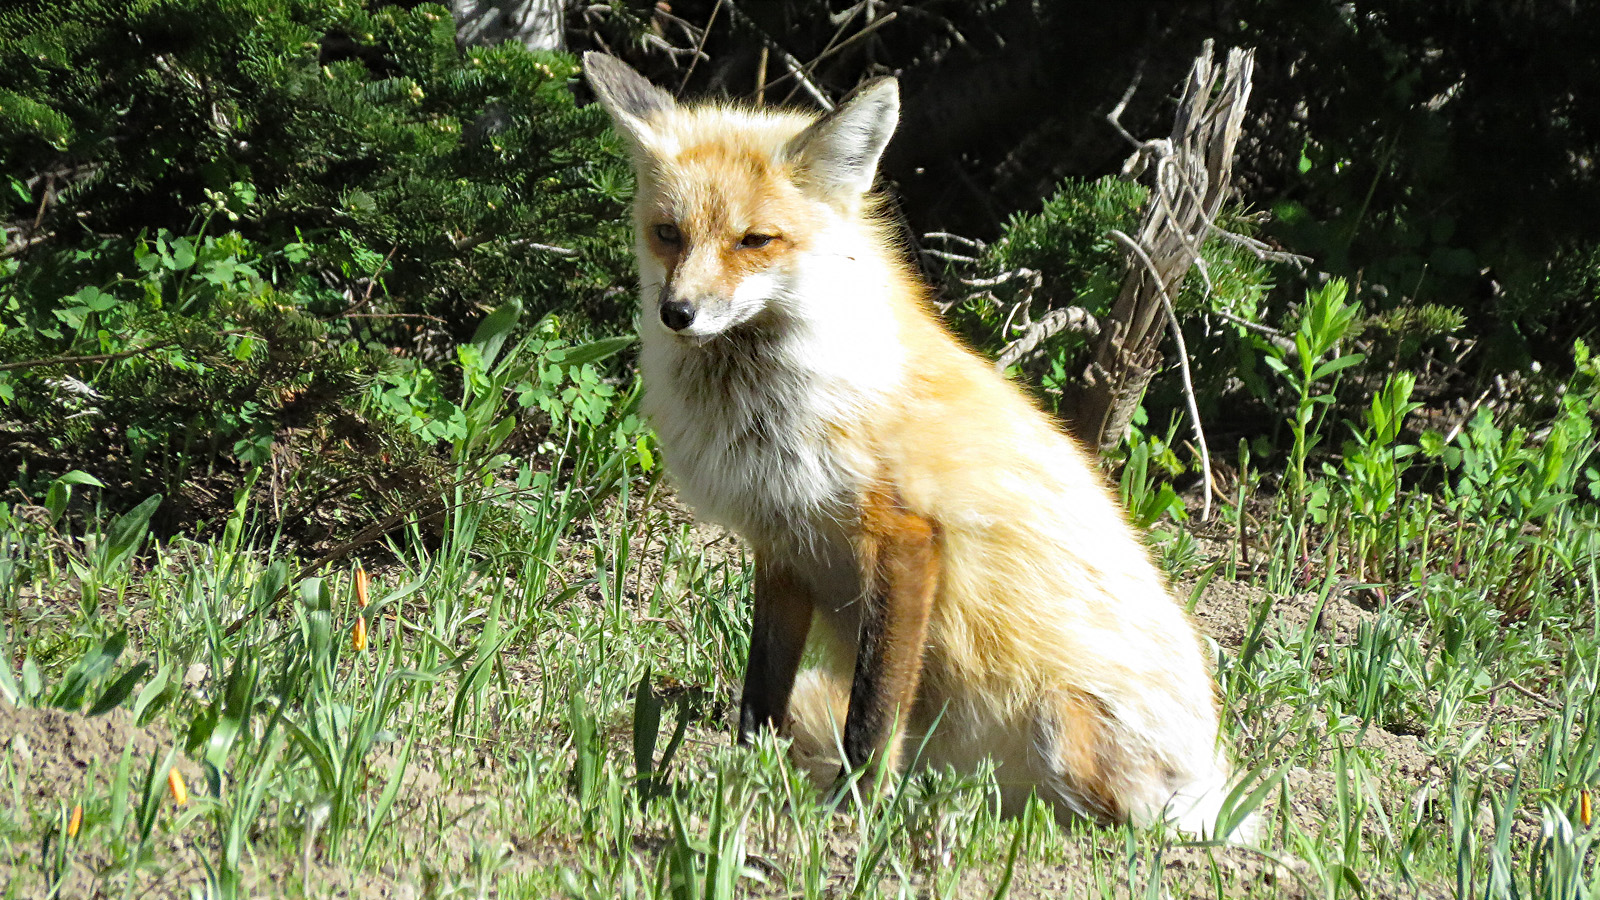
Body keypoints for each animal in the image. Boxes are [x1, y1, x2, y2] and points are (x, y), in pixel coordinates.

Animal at [584, 52, 1251, 840]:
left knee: (1105, 818)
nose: (677, 312)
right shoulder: (784, 547)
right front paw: (745, 786)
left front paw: (851, 816)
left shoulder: (905, 539)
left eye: (754, 241)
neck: (773, 409)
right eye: (668, 233)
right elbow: (760, 697)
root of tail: (1216, 787)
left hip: (1064, 729)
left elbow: (873, 711)